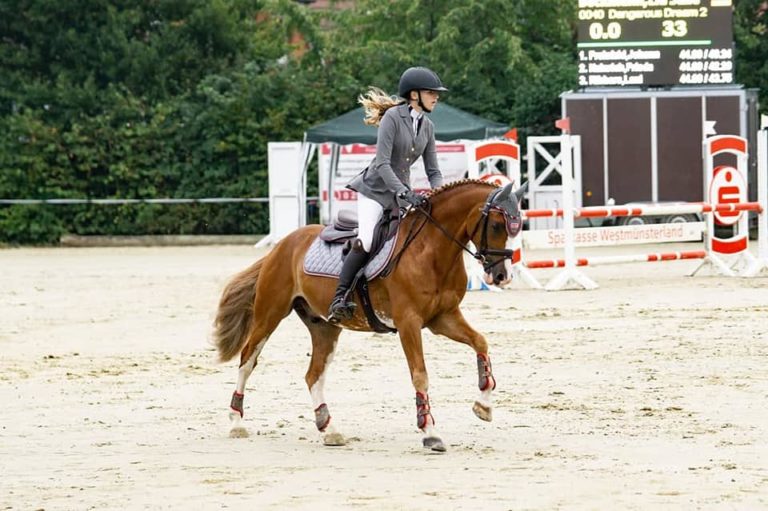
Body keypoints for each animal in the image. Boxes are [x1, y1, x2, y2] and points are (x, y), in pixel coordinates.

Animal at [213, 179, 526, 452]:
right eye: (496, 225)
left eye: (518, 226)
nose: (502, 276)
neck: (432, 250)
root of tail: (282, 245)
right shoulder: (409, 323)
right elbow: (420, 375)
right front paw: (430, 433)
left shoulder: (444, 318)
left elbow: (481, 342)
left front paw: (483, 405)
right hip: (269, 315)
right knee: (247, 360)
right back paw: (236, 423)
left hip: (324, 327)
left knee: (313, 374)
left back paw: (329, 429)